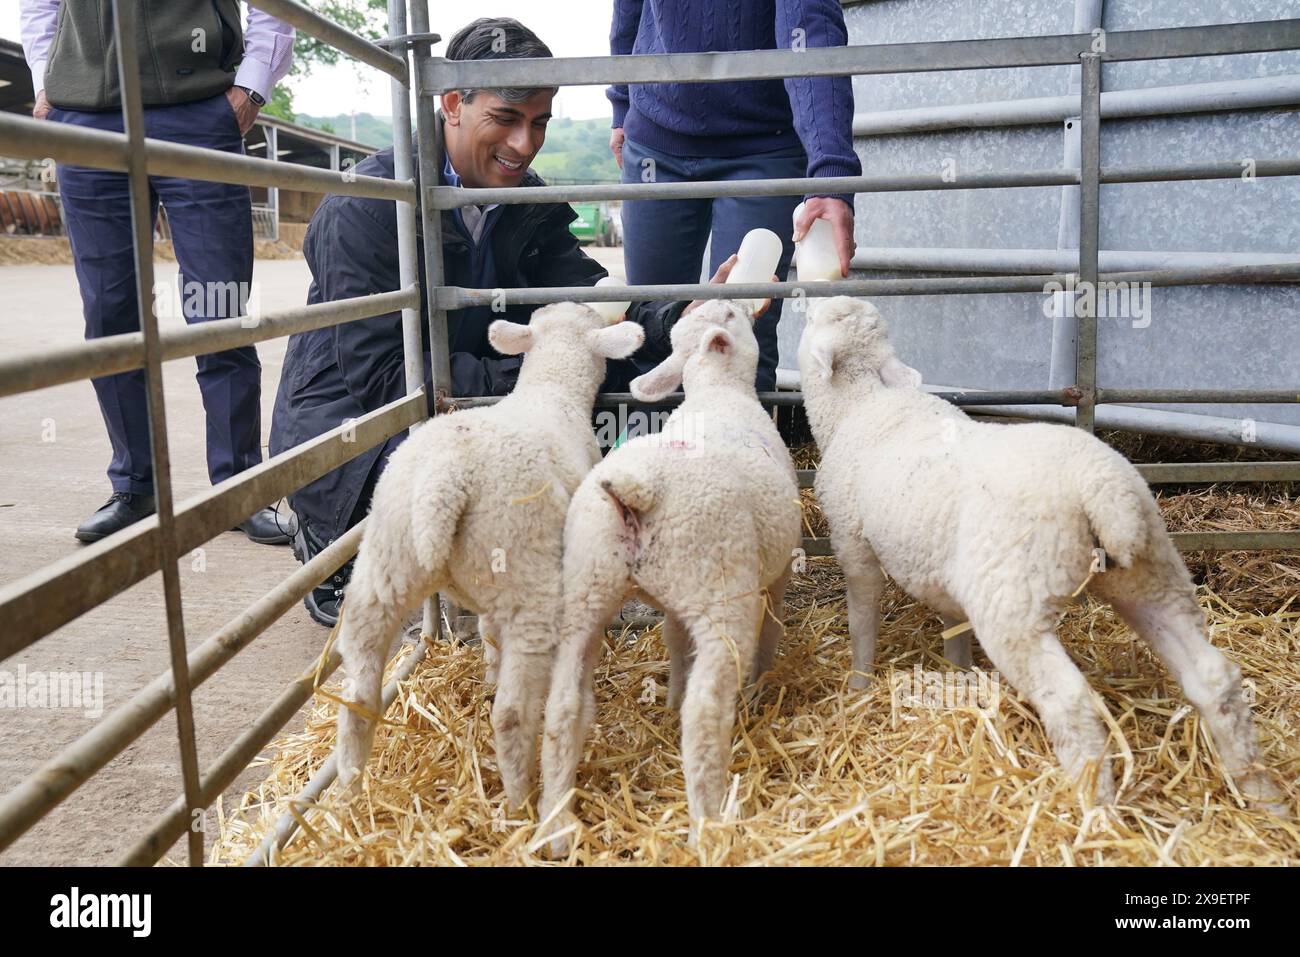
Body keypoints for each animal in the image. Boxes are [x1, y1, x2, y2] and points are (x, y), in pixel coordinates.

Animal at [331, 303, 644, 810]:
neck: (552, 388)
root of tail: (444, 482)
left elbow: (488, 633)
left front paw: (490, 676)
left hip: (386, 564)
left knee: (358, 694)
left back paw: (351, 798)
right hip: (527, 575)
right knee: (513, 715)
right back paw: (519, 802)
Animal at [537, 299, 803, 850]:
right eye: (731, 315)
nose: (743, 302)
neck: (719, 392)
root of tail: (640, 490)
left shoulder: (679, 603)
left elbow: (677, 645)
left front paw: (671, 695)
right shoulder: (776, 572)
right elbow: (772, 630)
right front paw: (759, 684)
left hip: (587, 584)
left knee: (564, 704)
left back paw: (556, 824)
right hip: (722, 591)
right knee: (705, 712)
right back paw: (710, 822)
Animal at [797, 295, 1284, 810]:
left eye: (812, 318)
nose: (808, 298)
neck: (860, 403)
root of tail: (1100, 488)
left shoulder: (852, 540)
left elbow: (861, 619)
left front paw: (858, 683)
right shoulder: (942, 569)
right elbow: (953, 626)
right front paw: (959, 674)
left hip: (1014, 603)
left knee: (1068, 699)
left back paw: (1097, 810)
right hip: (1151, 571)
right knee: (1213, 676)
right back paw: (1263, 796)